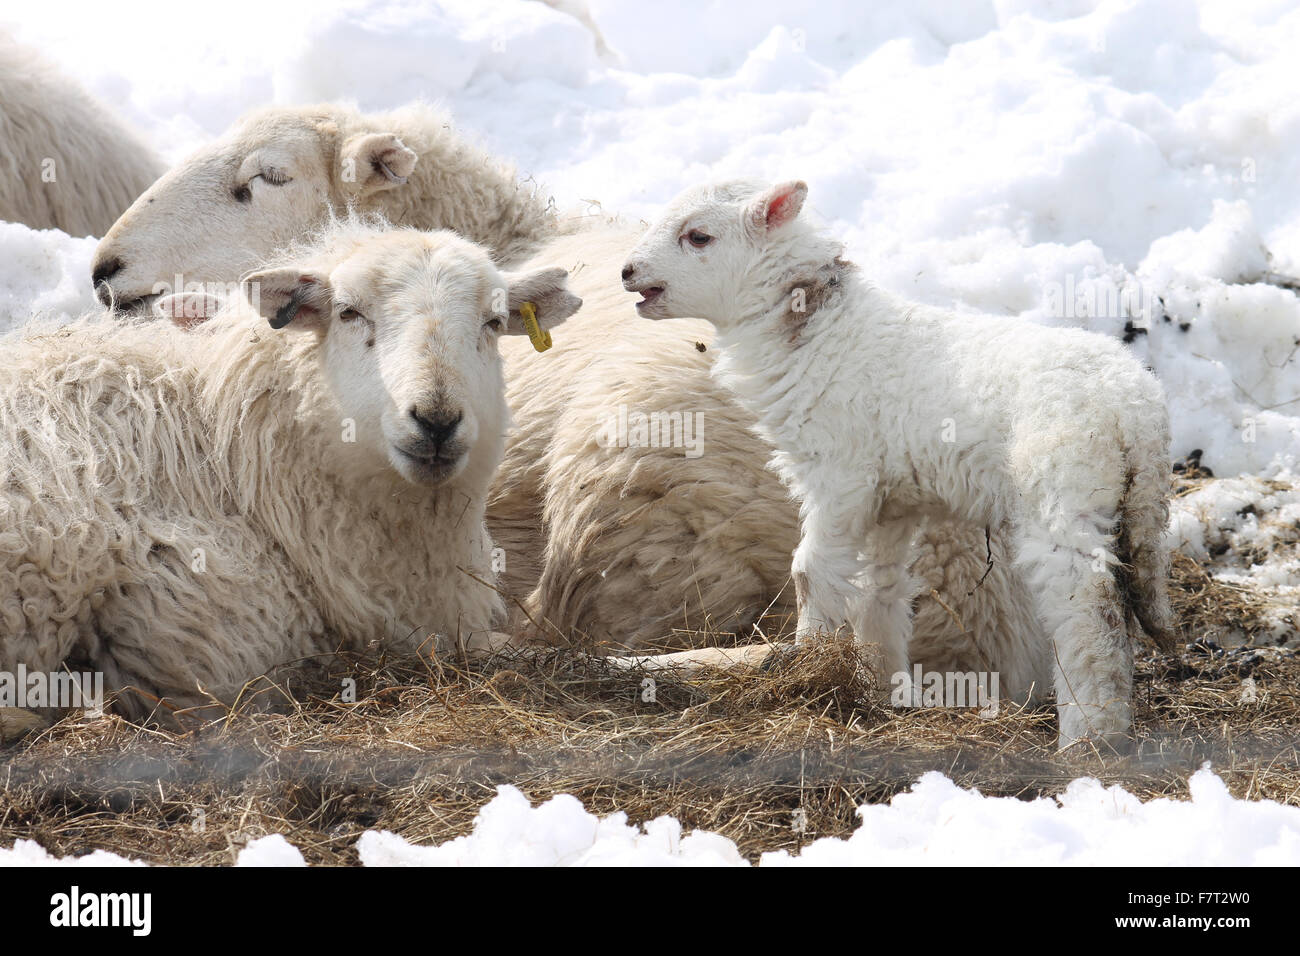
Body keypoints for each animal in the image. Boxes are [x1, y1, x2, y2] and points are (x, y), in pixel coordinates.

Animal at [87, 103, 1049, 696]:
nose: (103, 268)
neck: (518, 236)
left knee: (576, 628)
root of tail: (966, 577)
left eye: (268, 177)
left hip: (625, 481)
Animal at [622, 179, 1175, 750]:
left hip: (1062, 487)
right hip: (1123, 498)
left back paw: (1088, 738)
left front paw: (809, 669)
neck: (816, 328)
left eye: (698, 236)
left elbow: (810, 572)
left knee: (1088, 608)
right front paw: (877, 686)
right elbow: (878, 591)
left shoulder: (840, 474)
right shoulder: (891, 499)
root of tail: (1136, 407)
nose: (626, 272)